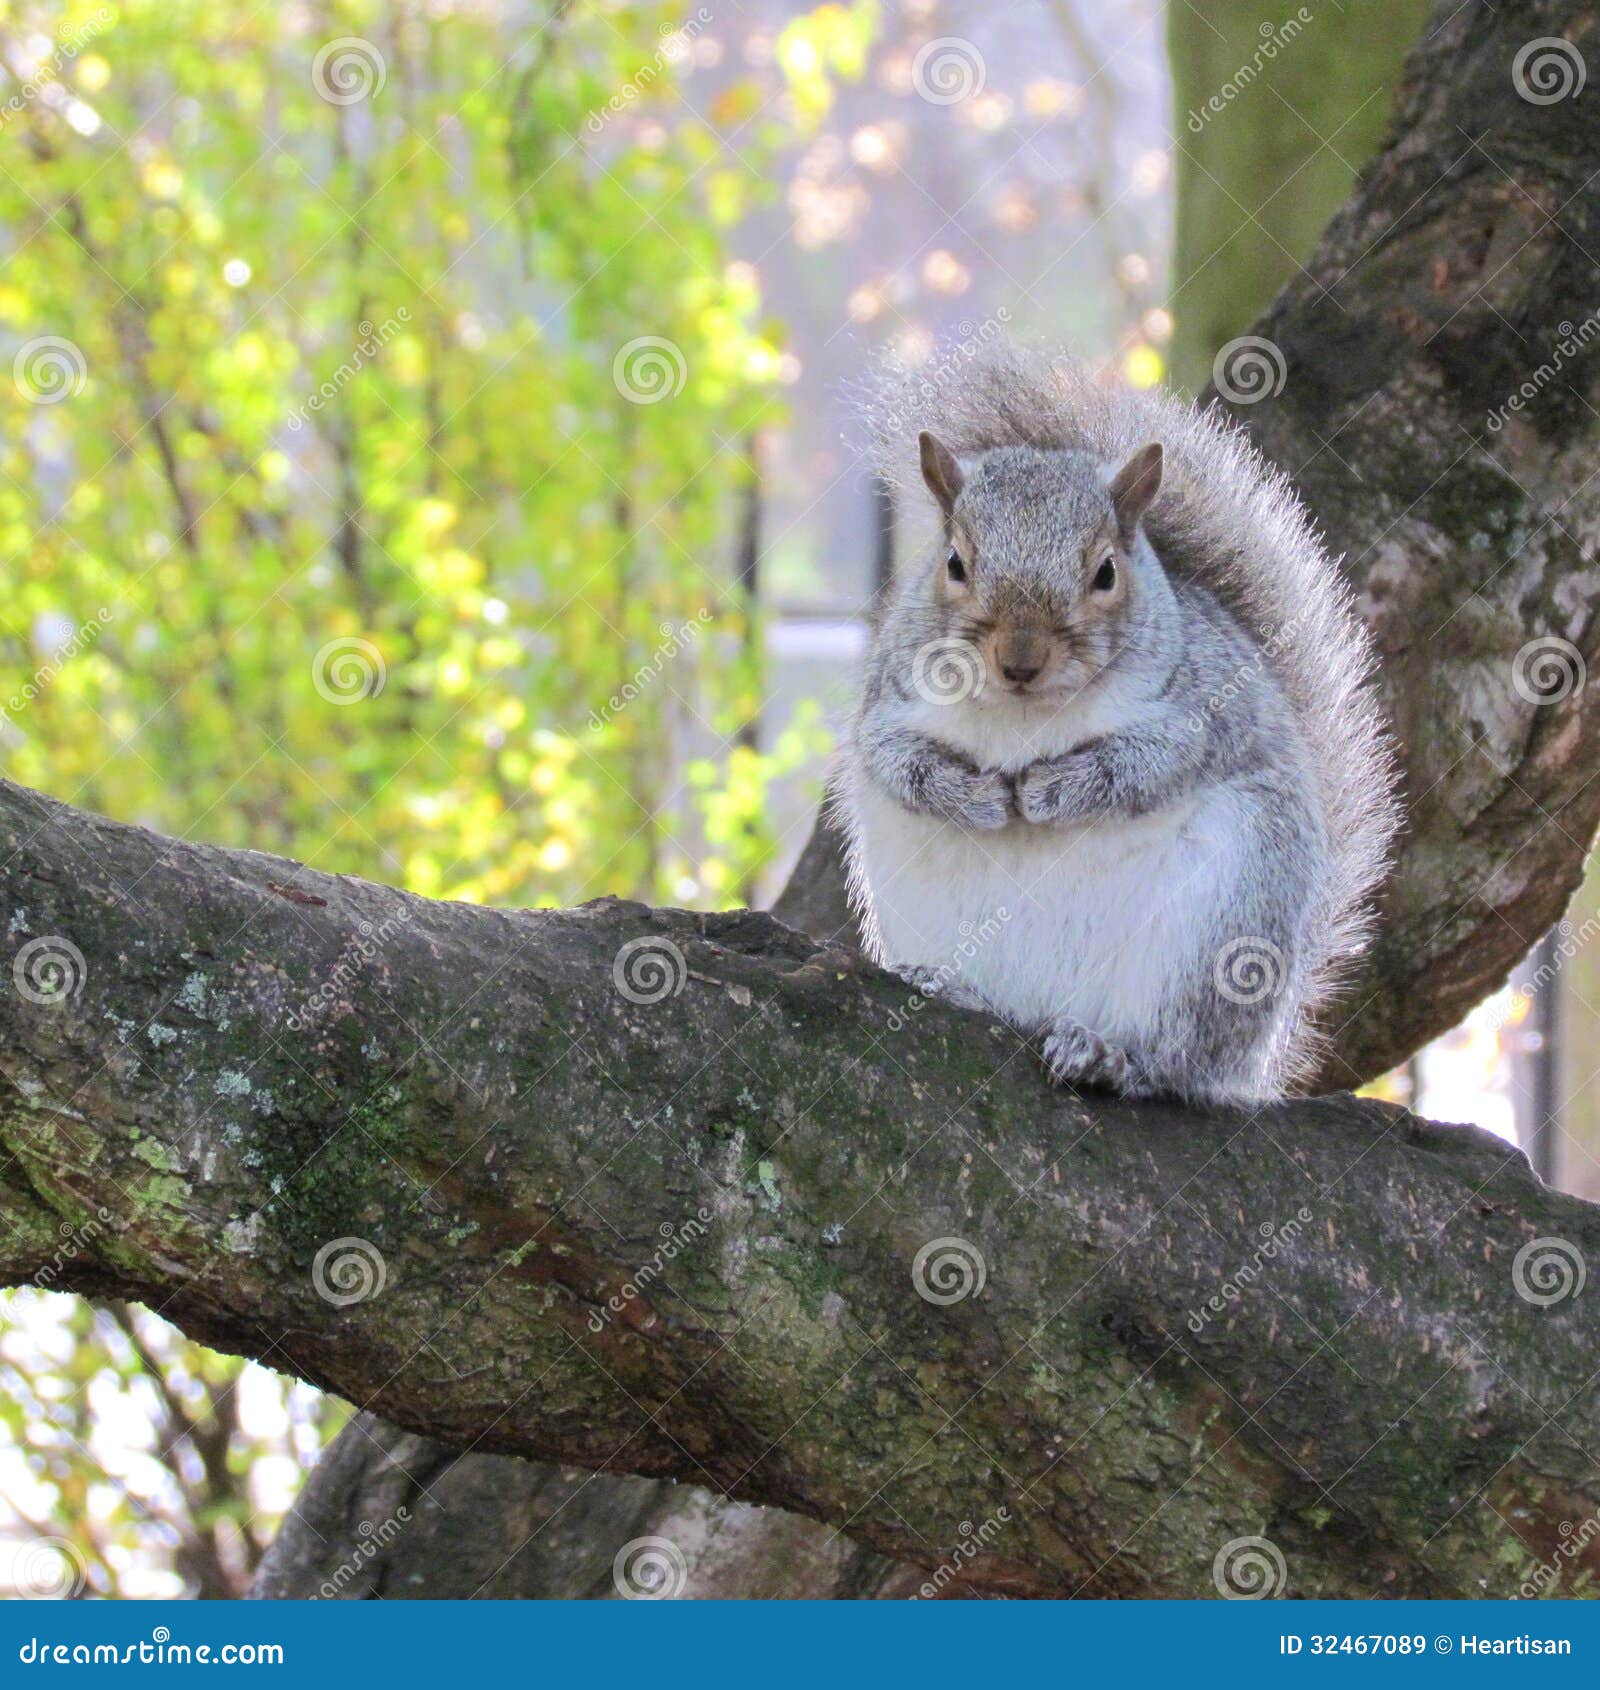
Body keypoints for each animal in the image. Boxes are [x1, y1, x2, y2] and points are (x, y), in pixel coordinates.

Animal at [835, 342, 1398, 1104]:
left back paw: (1110, 1056)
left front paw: (1049, 790)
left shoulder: (1204, 707)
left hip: (1229, 922)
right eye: (953, 564)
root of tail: (1253, 1065)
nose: (1020, 660)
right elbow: (896, 761)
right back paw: (948, 986)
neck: (1024, 716)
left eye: (1105, 573)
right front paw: (978, 796)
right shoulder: (888, 699)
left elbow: (1146, 763)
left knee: (1177, 1061)